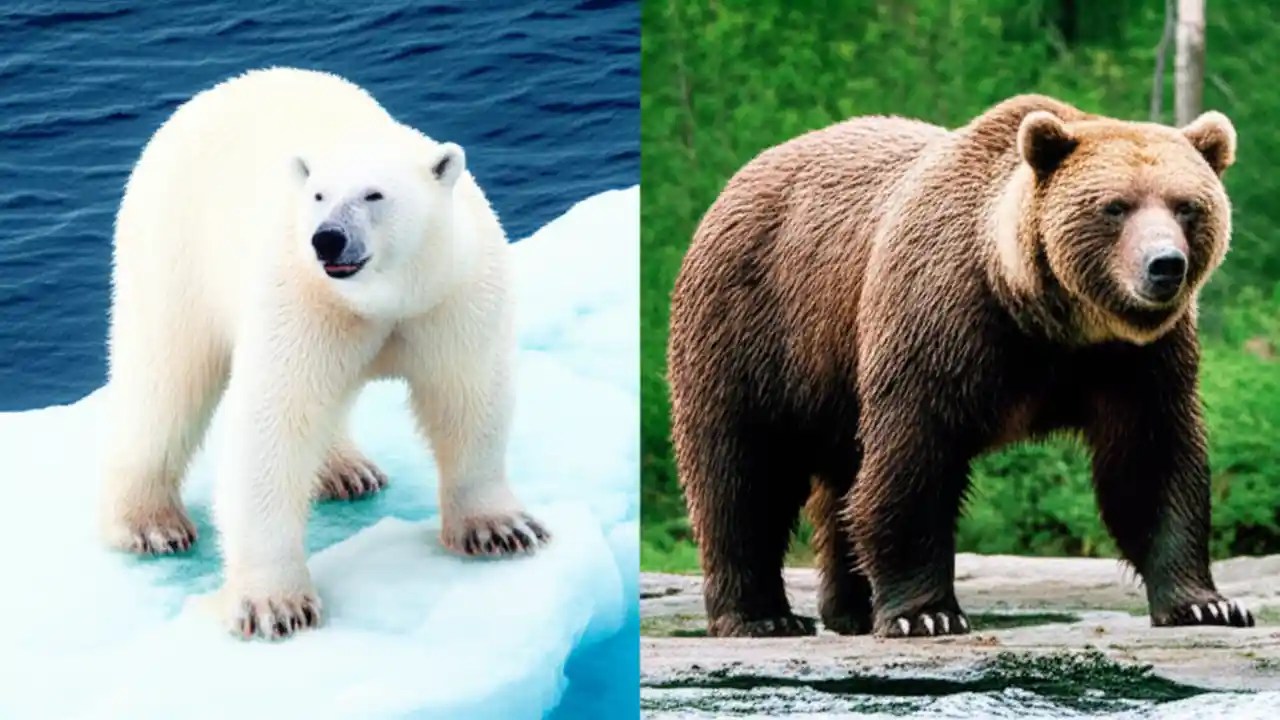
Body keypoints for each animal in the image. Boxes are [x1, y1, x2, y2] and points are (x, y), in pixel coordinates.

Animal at [98, 67, 550, 640]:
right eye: (317, 195)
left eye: (375, 194)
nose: (327, 240)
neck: (383, 296)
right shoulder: (303, 298)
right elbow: (274, 421)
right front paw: (276, 605)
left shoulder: (451, 295)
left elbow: (467, 393)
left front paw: (499, 527)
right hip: (174, 247)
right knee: (164, 380)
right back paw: (150, 524)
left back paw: (346, 470)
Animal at [667, 94, 1252, 639]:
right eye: (1115, 207)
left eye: (1186, 206)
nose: (1164, 265)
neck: (1043, 316)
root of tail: (738, 180)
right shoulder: (942, 323)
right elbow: (914, 460)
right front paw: (926, 614)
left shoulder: (1134, 359)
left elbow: (1151, 461)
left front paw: (1207, 605)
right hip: (755, 328)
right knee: (743, 475)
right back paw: (761, 616)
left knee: (836, 482)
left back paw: (850, 610)